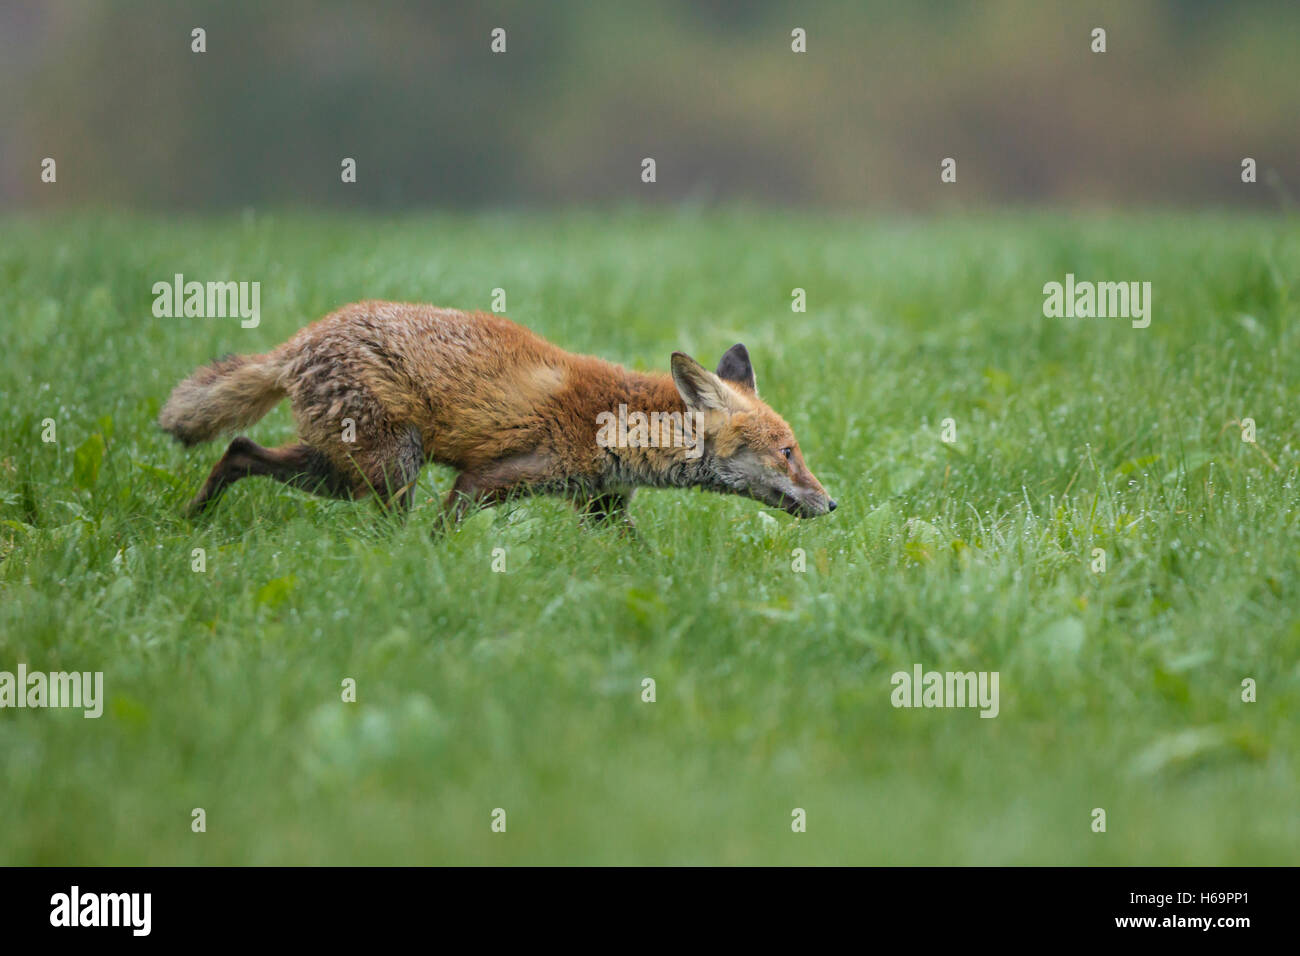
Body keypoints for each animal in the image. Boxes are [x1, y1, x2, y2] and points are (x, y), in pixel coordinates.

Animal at [158, 301, 836, 531]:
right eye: (787, 453)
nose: (832, 503)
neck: (615, 426)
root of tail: (299, 342)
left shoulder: (600, 506)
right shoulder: (483, 480)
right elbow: (441, 532)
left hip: (338, 471)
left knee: (239, 448)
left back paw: (192, 521)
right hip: (389, 472)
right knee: (388, 532)